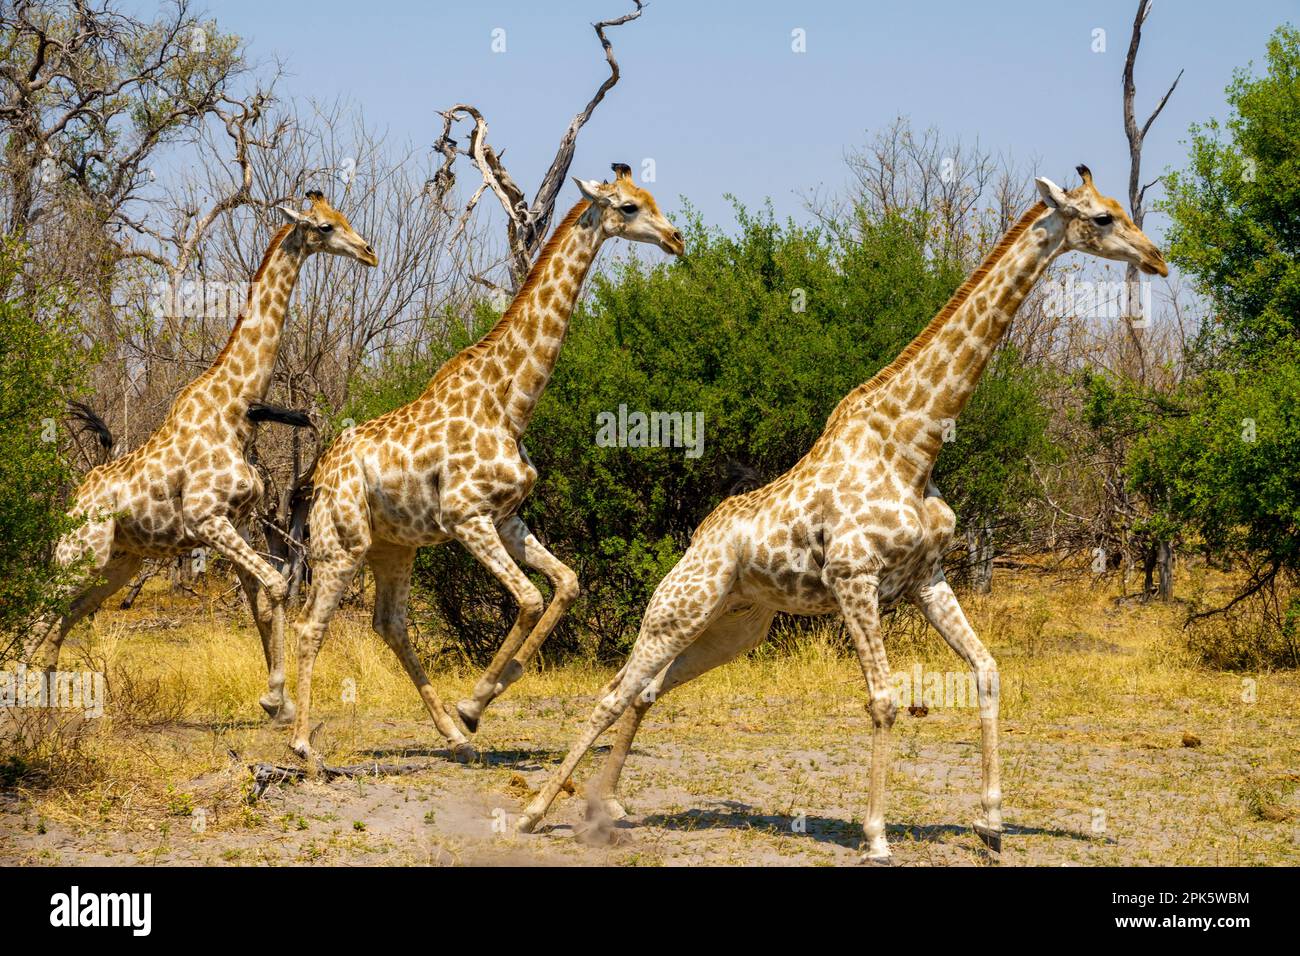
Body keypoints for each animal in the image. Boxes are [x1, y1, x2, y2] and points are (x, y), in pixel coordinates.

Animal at [31, 191, 377, 727]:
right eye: (324, 226)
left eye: (344, 218)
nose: (367, 252)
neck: (234, 410)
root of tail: (77, 496)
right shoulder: (207, 518)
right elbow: (277, 587)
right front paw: (276, 699)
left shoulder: (237, 521)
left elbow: (263, 599)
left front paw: (277, 702)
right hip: (77, 553)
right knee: (38, 617)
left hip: (117, 562)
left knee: (61, 620)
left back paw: (53, 709)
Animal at [287, 164, 683, 764]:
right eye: (630, 208)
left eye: (653, 198)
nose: (676, 239)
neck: (512, 402)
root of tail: (319, 473)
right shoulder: (465, 517)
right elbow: (530, 596)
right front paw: (474, 702)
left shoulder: (506, 516)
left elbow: (566, 583)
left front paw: (484, 699)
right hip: (340, 542)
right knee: (311, 624)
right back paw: (303, 743)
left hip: (393, 546)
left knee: (390, 623)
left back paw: (451, 737)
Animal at [517, 167, 1169, 861]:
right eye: (1101, 218)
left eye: (1121, 208)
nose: (1157, 258)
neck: (914, 445)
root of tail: (699, 536)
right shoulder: (854, 579)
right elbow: (883, 700)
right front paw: (877, 837)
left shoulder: (927, 578)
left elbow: (988, 672)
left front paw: (992, 825)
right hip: (678, 607)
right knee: (614, 691)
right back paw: (534, 814)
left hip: (739, 622)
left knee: (647, 688)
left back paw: (605, 803)